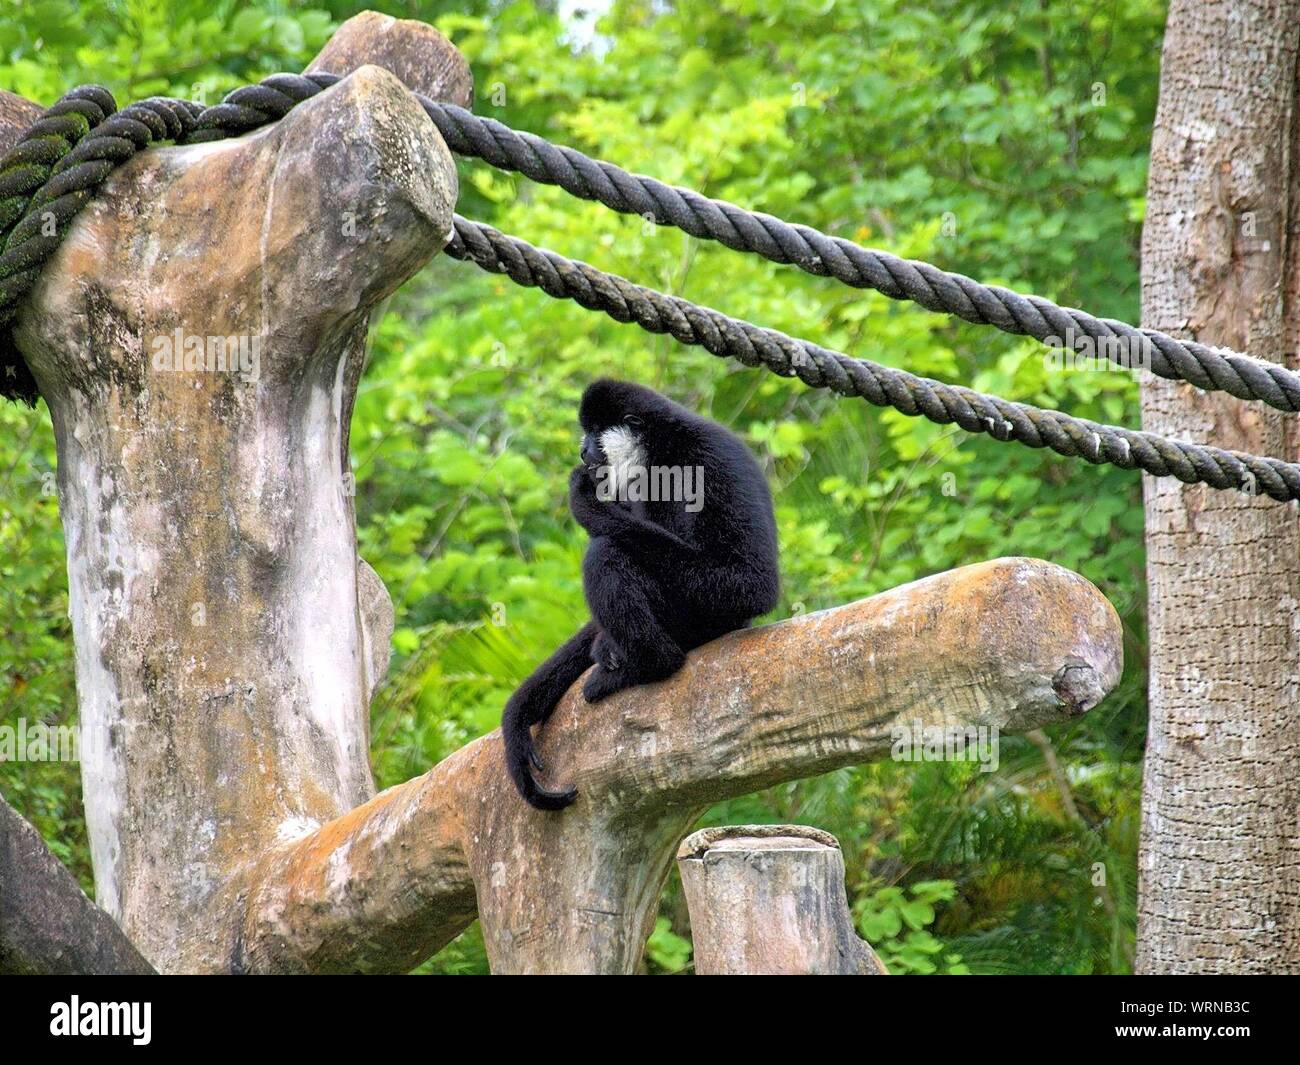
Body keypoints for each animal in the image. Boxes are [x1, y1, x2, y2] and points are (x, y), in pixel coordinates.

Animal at [501, 378, 780, 810]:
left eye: (593, 432)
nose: (582, 448)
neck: (663, 448)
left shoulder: (712, 459)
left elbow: (752, 582)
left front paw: (586, 502)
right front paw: (519, 717)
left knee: (606, 551)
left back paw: (649, 664)